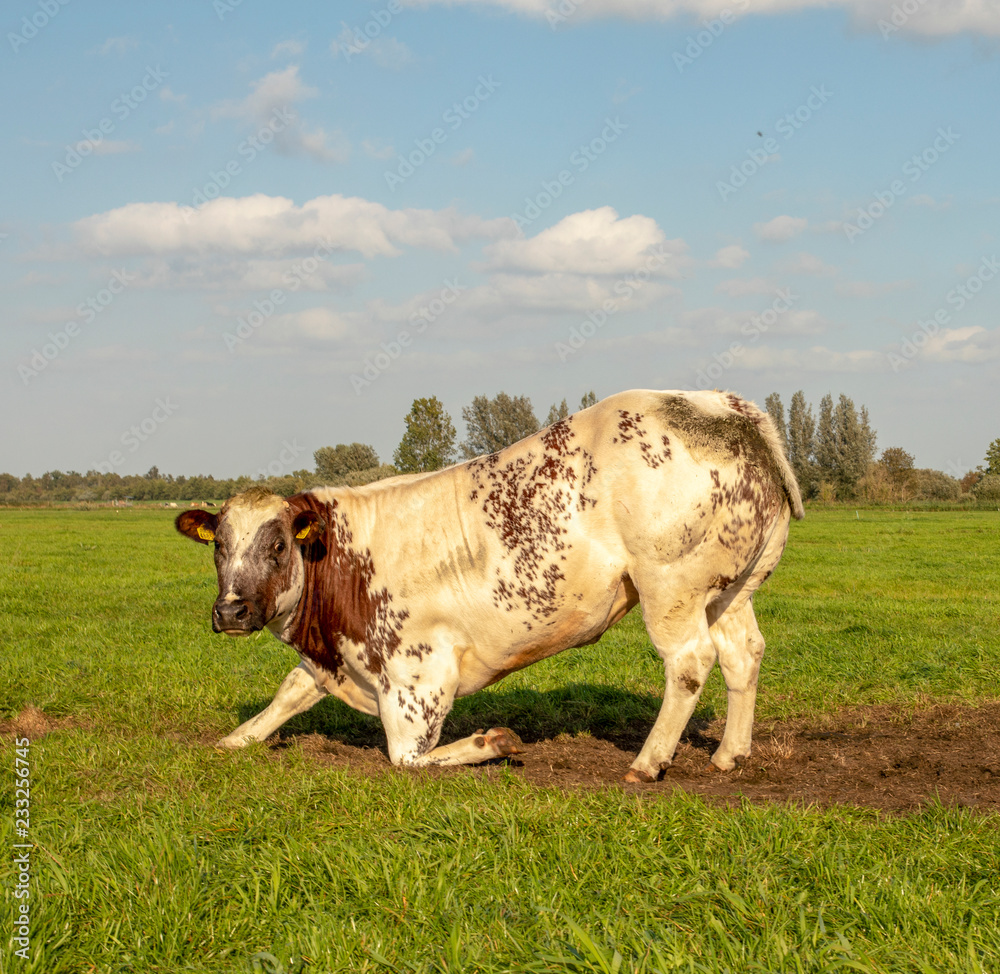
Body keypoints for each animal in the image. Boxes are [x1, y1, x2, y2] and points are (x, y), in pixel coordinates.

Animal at [176, 390, 803, 783]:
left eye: (279, 546)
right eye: (218, 546)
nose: (231, 611)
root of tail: (723, 405)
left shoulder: (418, 680)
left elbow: (406, 759)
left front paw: (492, 742)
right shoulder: (334, 658)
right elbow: (289, 691)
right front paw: (234, 739)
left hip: (670, 586)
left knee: (690, 662)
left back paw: (648, 762)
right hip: (731, 589)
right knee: (743, 653)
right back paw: (729, 754)